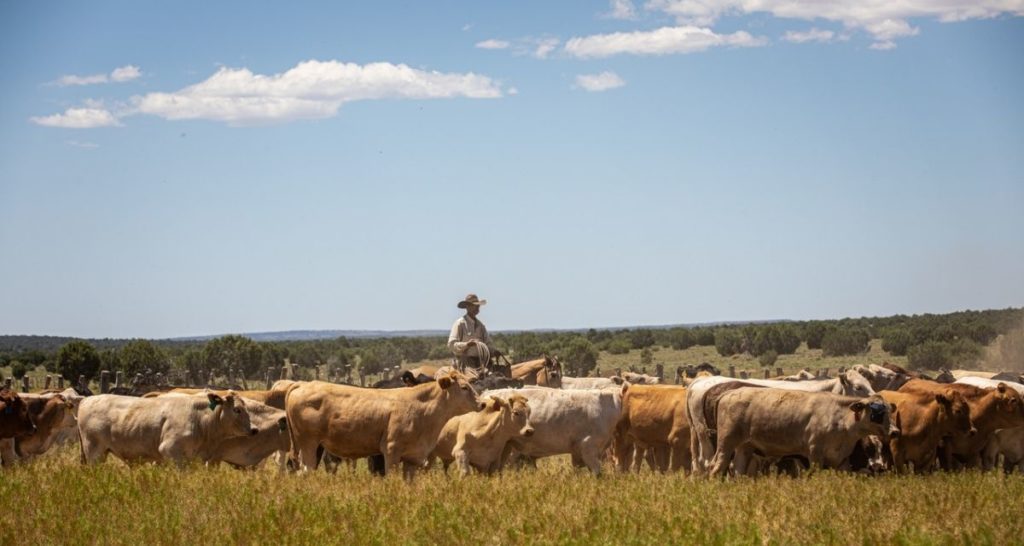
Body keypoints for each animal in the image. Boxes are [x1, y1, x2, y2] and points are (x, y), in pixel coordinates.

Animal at [285, 372, 481, 479]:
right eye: (464, 387)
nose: (482, 403)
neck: (420, 407)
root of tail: (301, 384)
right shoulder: (390, 452)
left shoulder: (412, 458)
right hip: (308, 445)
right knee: (306, 470)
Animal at [709, 388, 894, 477]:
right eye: (877, 411)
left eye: (889, 410)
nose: (895, 431)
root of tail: (728, 393)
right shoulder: (815, 454)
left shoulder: (841, 460)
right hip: (726, 443)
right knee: (716, 467)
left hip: (745, 447)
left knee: (738, 469)